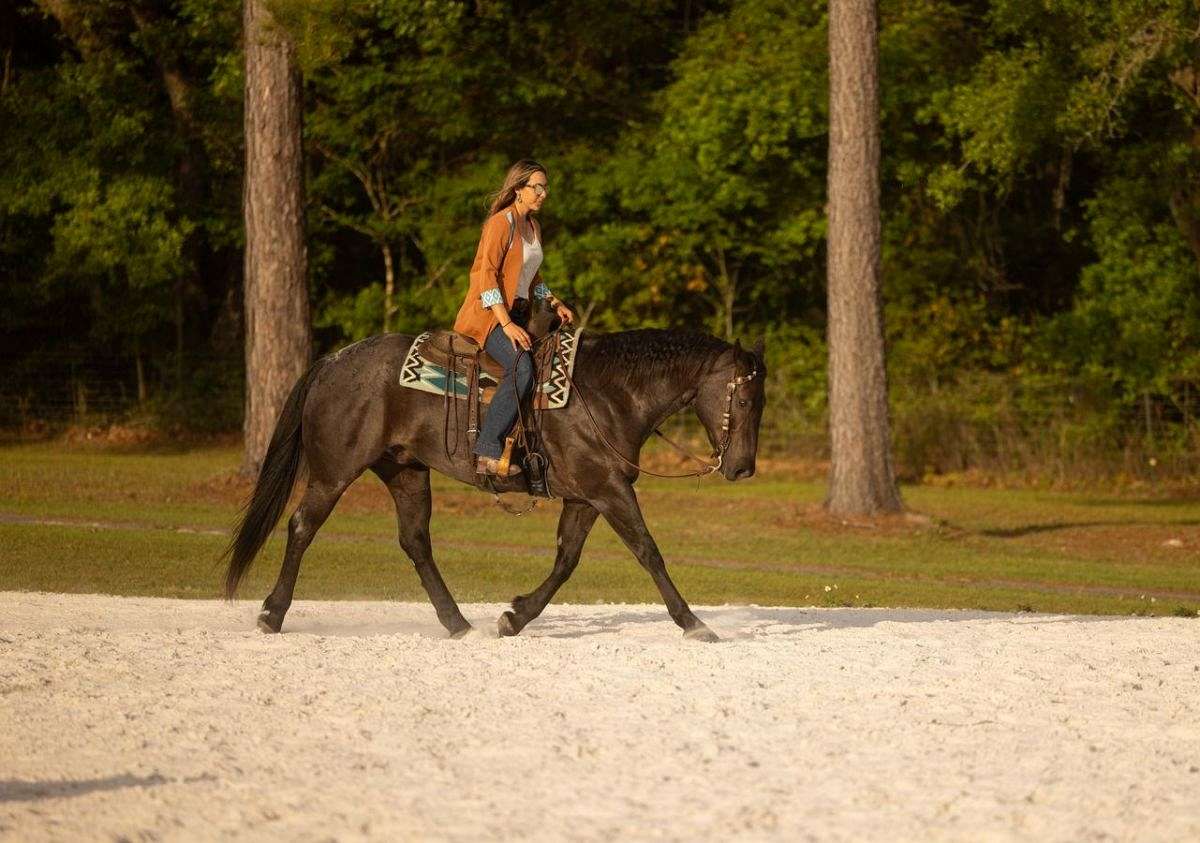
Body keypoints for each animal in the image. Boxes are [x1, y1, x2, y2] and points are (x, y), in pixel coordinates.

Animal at [223, 315, 767, 642]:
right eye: (742, 399)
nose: (743, 468)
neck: (608, 393)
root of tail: (331, 361)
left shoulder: (587, 496)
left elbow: (566, 560)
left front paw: (514, 616)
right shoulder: (608, 490)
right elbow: (648, 551)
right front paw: (693, 622)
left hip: (405, 471)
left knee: (415, 541)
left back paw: (457, 622)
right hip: (335, 472)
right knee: (302, 526)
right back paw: (271, 614)